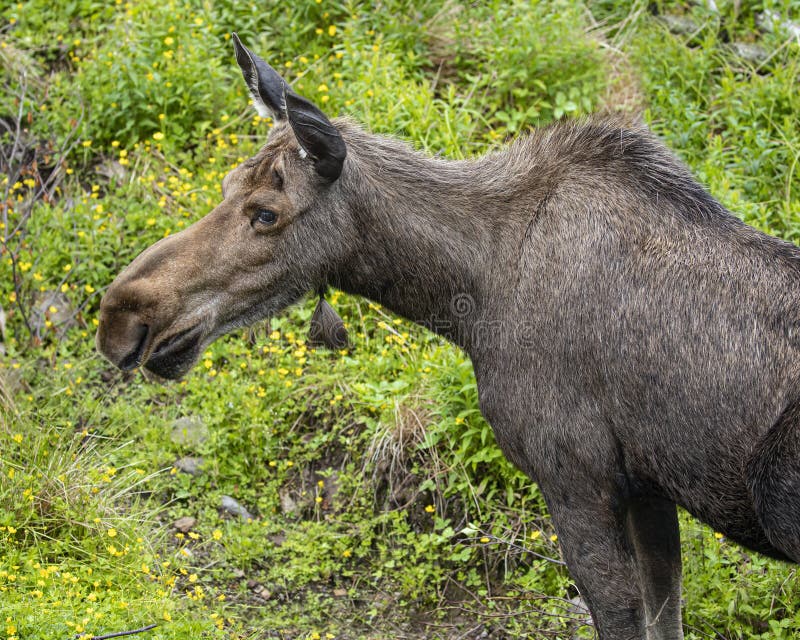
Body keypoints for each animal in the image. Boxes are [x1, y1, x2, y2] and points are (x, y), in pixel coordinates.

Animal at [96, 34, 800, 639]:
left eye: (266, 213)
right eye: (224, 186)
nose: (121, 316)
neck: (468, 296)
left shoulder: (574, 476)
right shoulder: (648, 489)